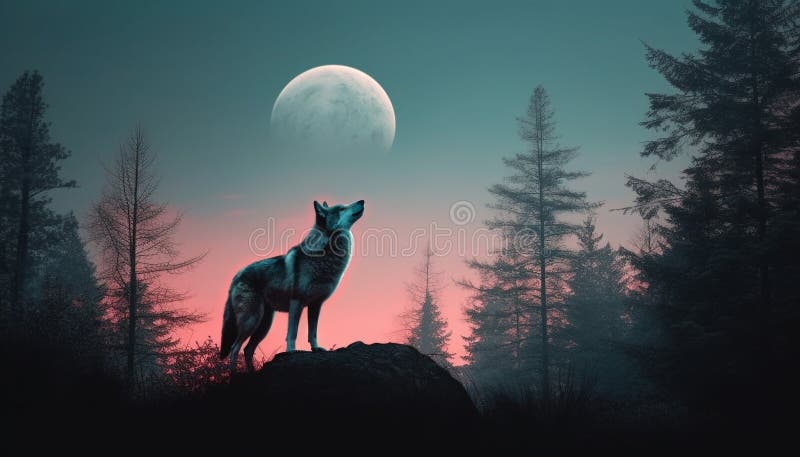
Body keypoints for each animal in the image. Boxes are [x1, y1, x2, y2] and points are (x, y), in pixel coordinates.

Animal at [219, 199, 364, 373]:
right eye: (342, 208)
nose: (362, 201)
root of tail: (236, 276)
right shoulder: (296, 302)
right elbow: (292, 332)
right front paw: (291, 351)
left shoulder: (316, 305)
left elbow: (313, 332)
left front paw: (316, 348)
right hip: (251, 321)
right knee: (234, 348)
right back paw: (234, 375)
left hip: (264, 326)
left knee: (247, 349)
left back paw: (252, 373)